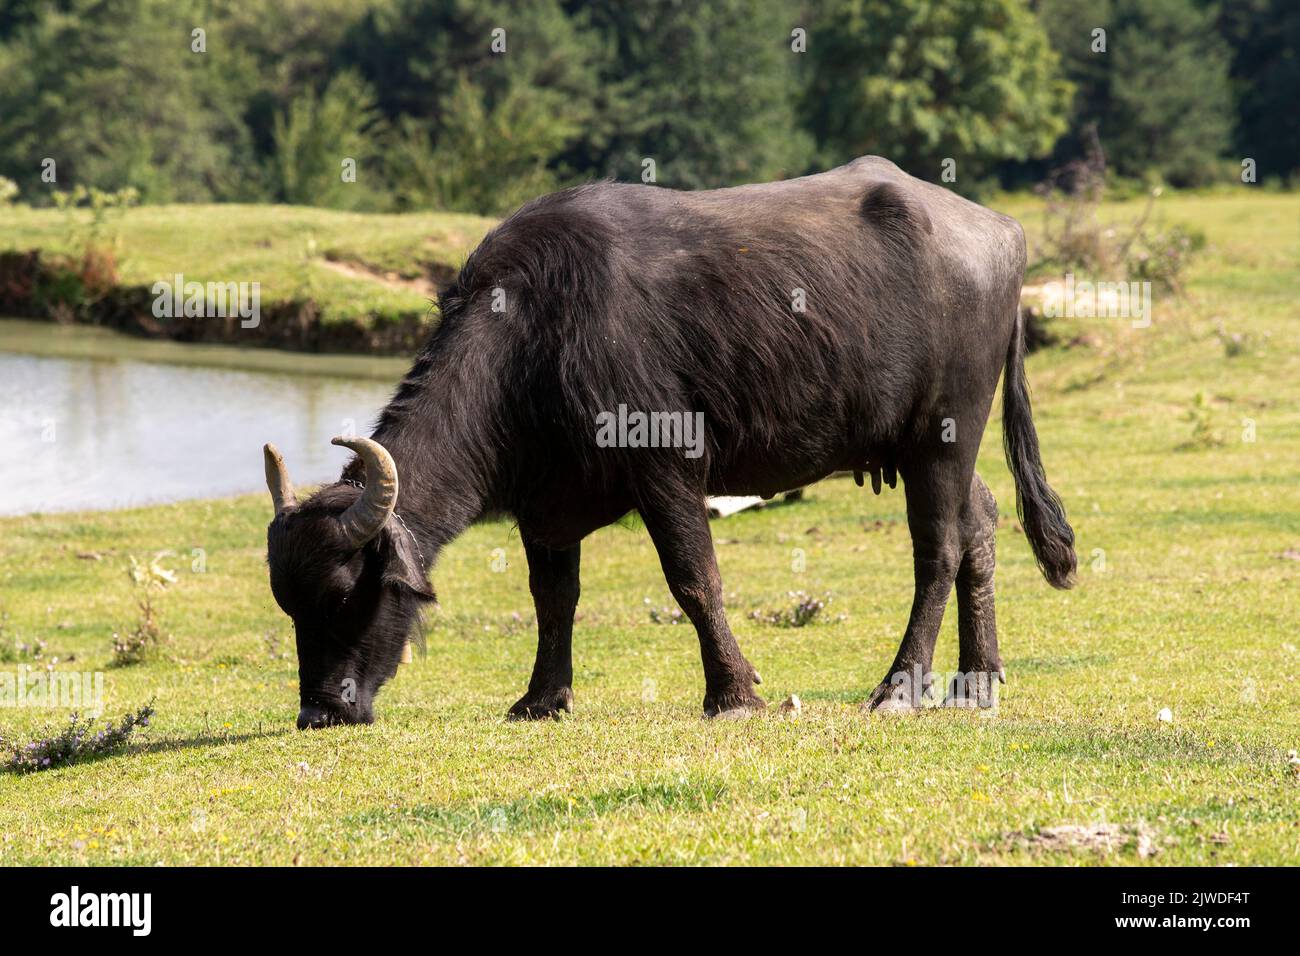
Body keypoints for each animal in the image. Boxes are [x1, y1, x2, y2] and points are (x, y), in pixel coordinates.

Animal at [263, 155, 1075, 728]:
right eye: (288, 604)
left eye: (344, 594)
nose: (320, 711)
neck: (535, 332)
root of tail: (1002, 232)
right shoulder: (544, 505)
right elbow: (553, 596)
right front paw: (542, 697)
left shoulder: (666, 464)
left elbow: (693, 578)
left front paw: (733, 692)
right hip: (927, 443)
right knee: (981, 521)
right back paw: (978, 678)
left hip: (943, 432)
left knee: (938, 549)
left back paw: (901, 686)